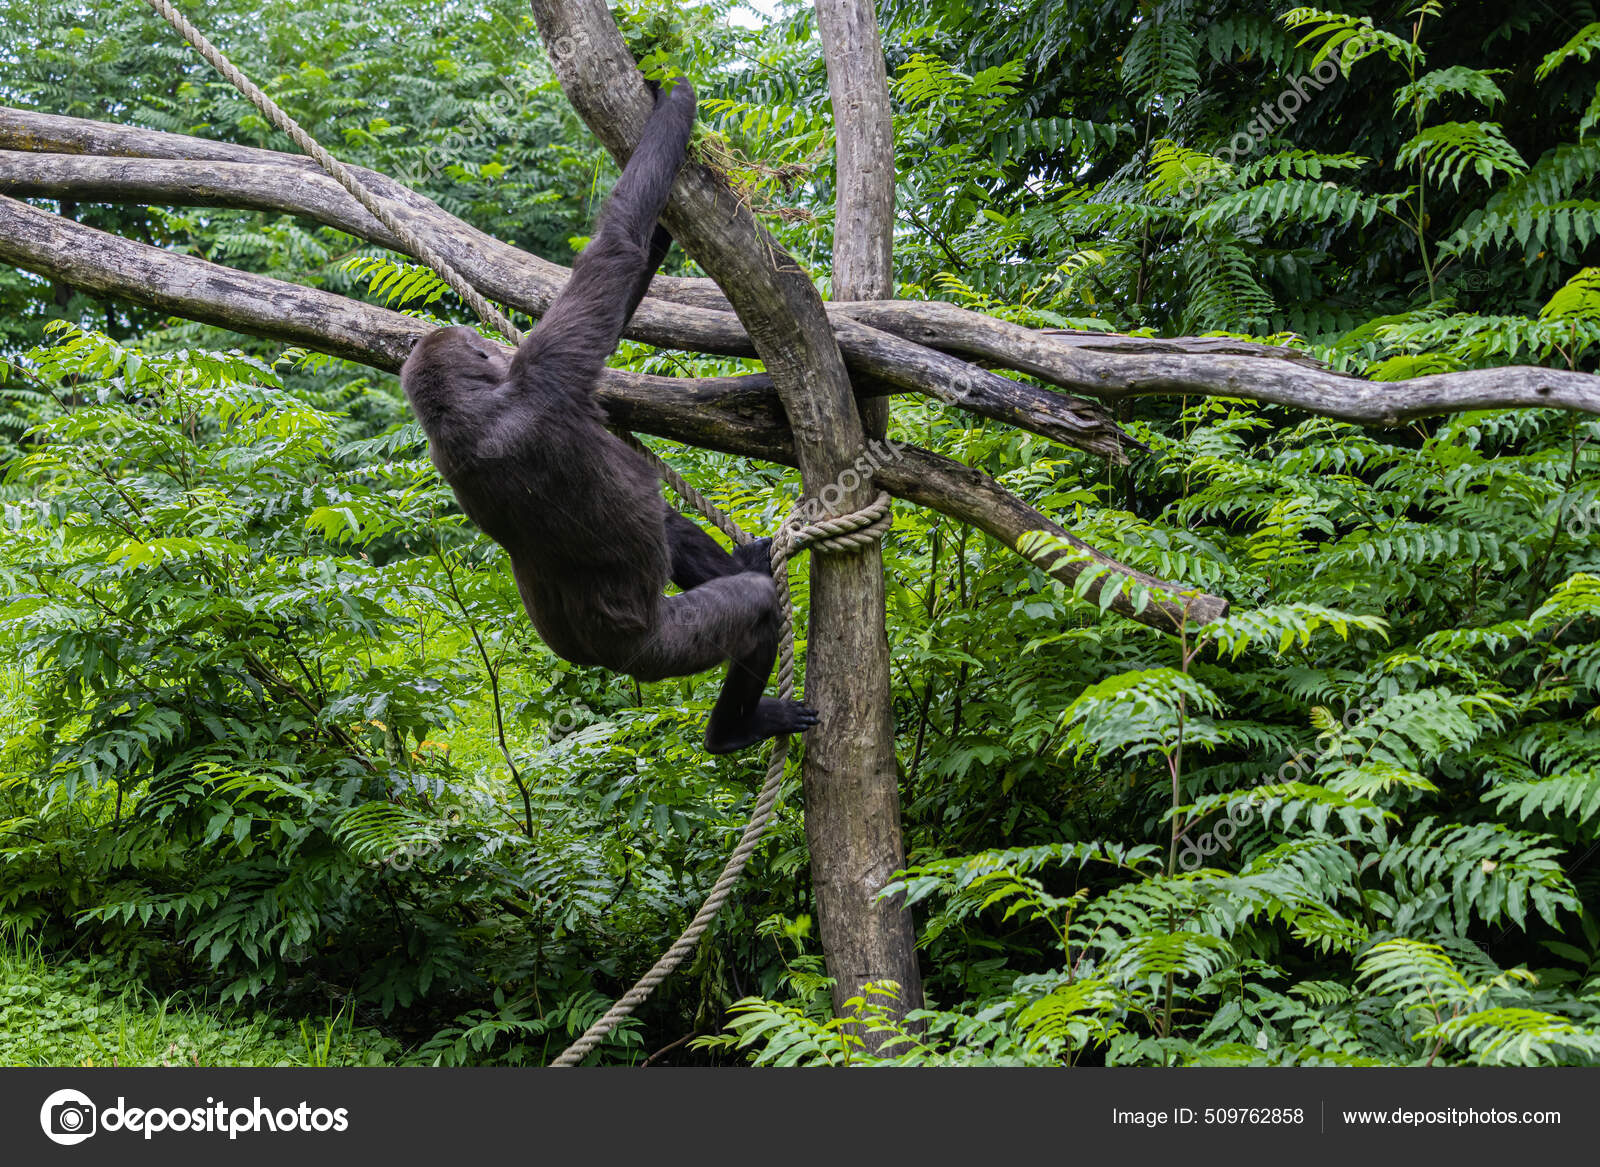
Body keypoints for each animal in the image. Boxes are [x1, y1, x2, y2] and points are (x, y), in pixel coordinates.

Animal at [400, 77, 818, 754]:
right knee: (751, 608)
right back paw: (734, 726)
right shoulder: (547, 374)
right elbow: (617, 245)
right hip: (664, 646)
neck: (467, 414)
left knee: (669, 526)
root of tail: (604, 661)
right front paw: (675, 103)